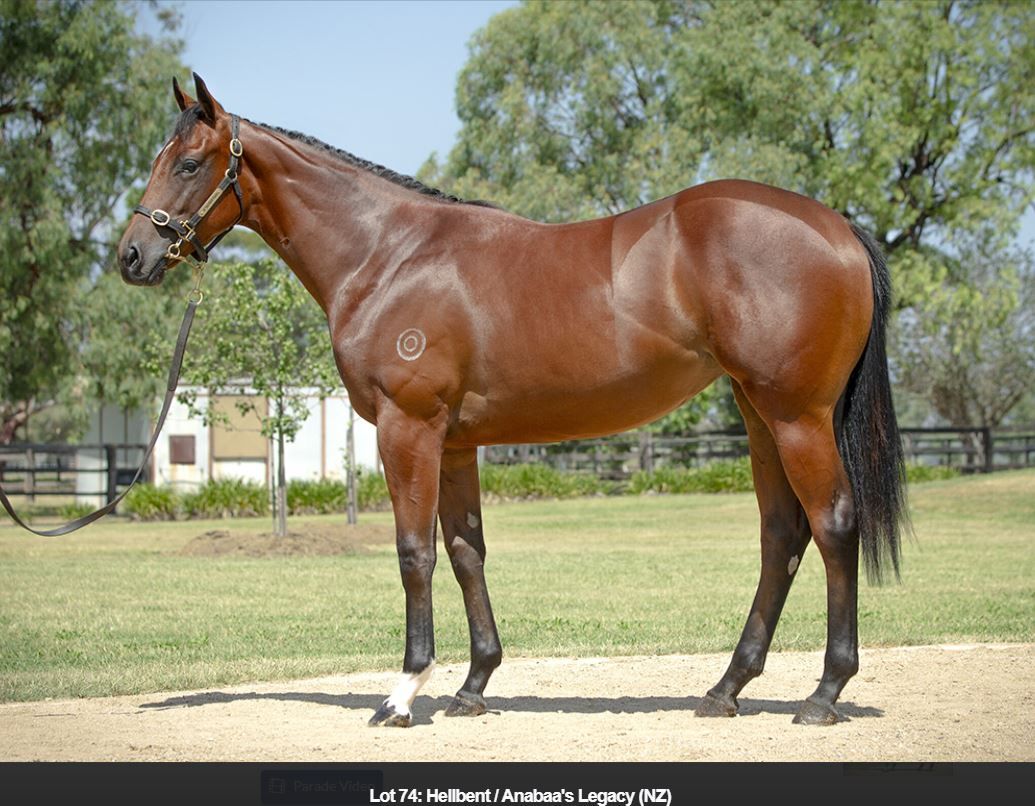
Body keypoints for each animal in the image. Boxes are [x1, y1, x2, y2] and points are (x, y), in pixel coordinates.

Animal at [117, 75, 908, 728]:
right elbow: (466, 551)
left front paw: (403, 694)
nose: (131, 256)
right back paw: (725, 689)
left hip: (795, 417)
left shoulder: (408, 430)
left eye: (188, 164)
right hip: (757, 415)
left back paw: (822, 695)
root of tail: (837, 226)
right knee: (781, 536)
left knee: (833, 526)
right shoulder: (455, 441)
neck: (387, 255)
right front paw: (472, 686)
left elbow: (414, 552)